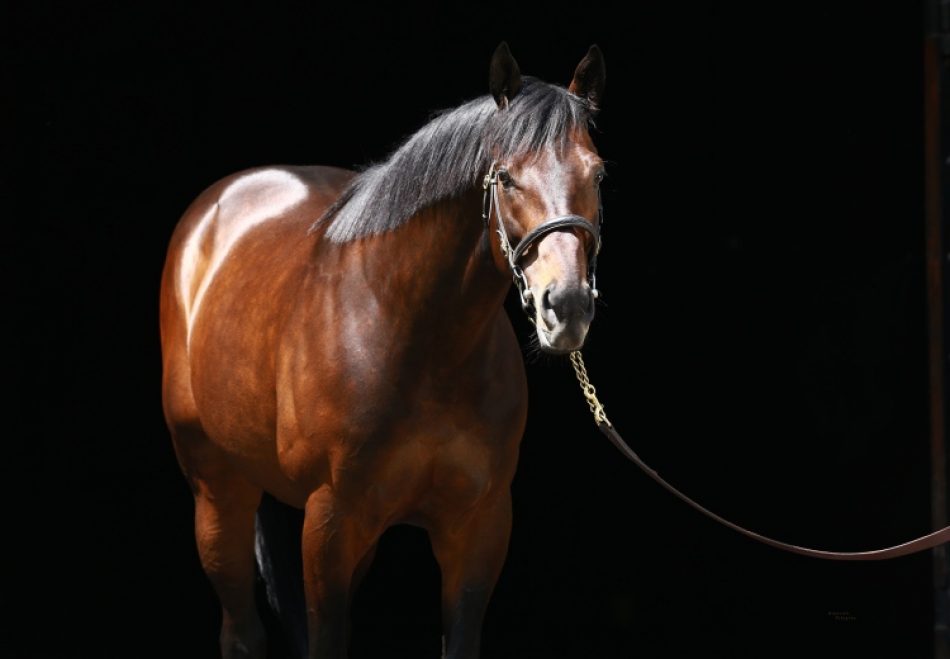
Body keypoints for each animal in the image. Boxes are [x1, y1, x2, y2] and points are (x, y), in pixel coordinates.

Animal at [160, 42, 607, 659]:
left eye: (598, 172)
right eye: (506, 177)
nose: (565, 305)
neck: (415, 339)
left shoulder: (480, 526)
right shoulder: (330, 523)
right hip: (217, 489)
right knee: (240, 631)